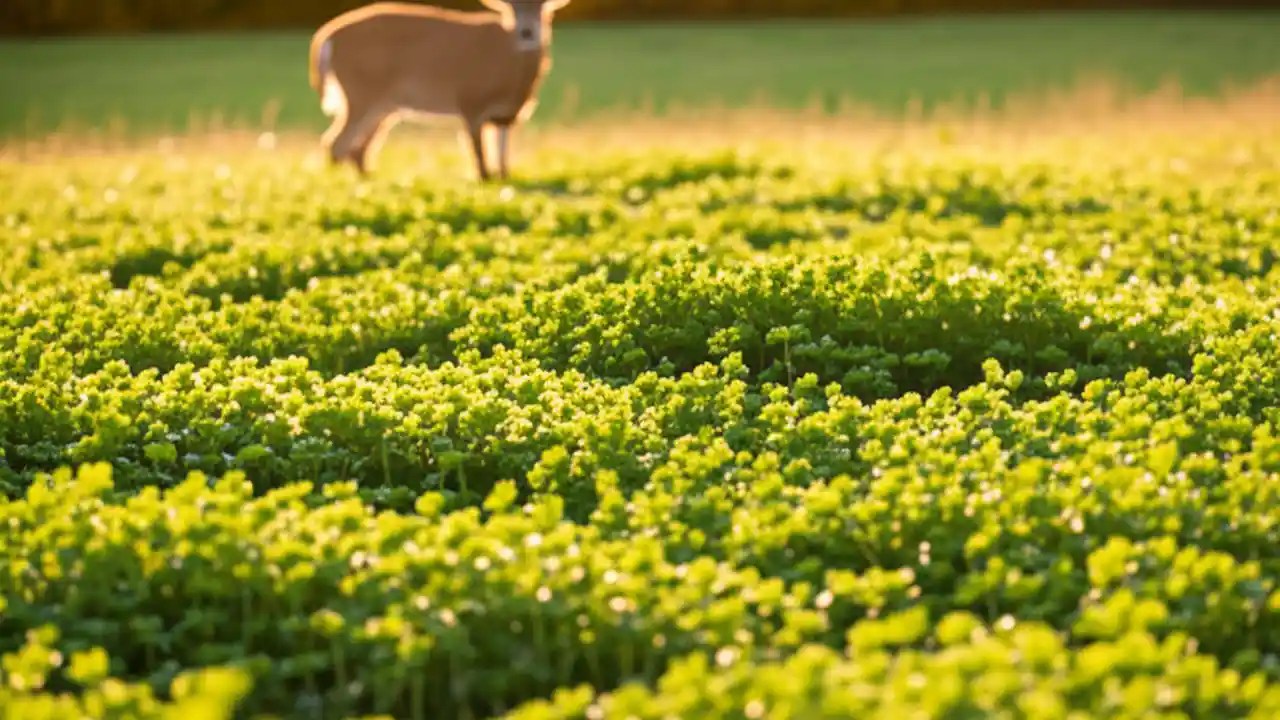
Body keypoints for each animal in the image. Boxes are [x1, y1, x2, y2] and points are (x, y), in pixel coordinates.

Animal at [307, 0, 571, 181]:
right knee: (336, 142)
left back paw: (369, 178)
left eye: (542, 5)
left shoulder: (506, 115)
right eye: (511, 5)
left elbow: (503, 156)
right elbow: (479, 155)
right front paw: (484, 180)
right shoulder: (470, 100)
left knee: (358, 146)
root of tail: (326, 37)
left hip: (383, 104)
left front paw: (504, 178)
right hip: (360, 91)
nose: (527, 32)